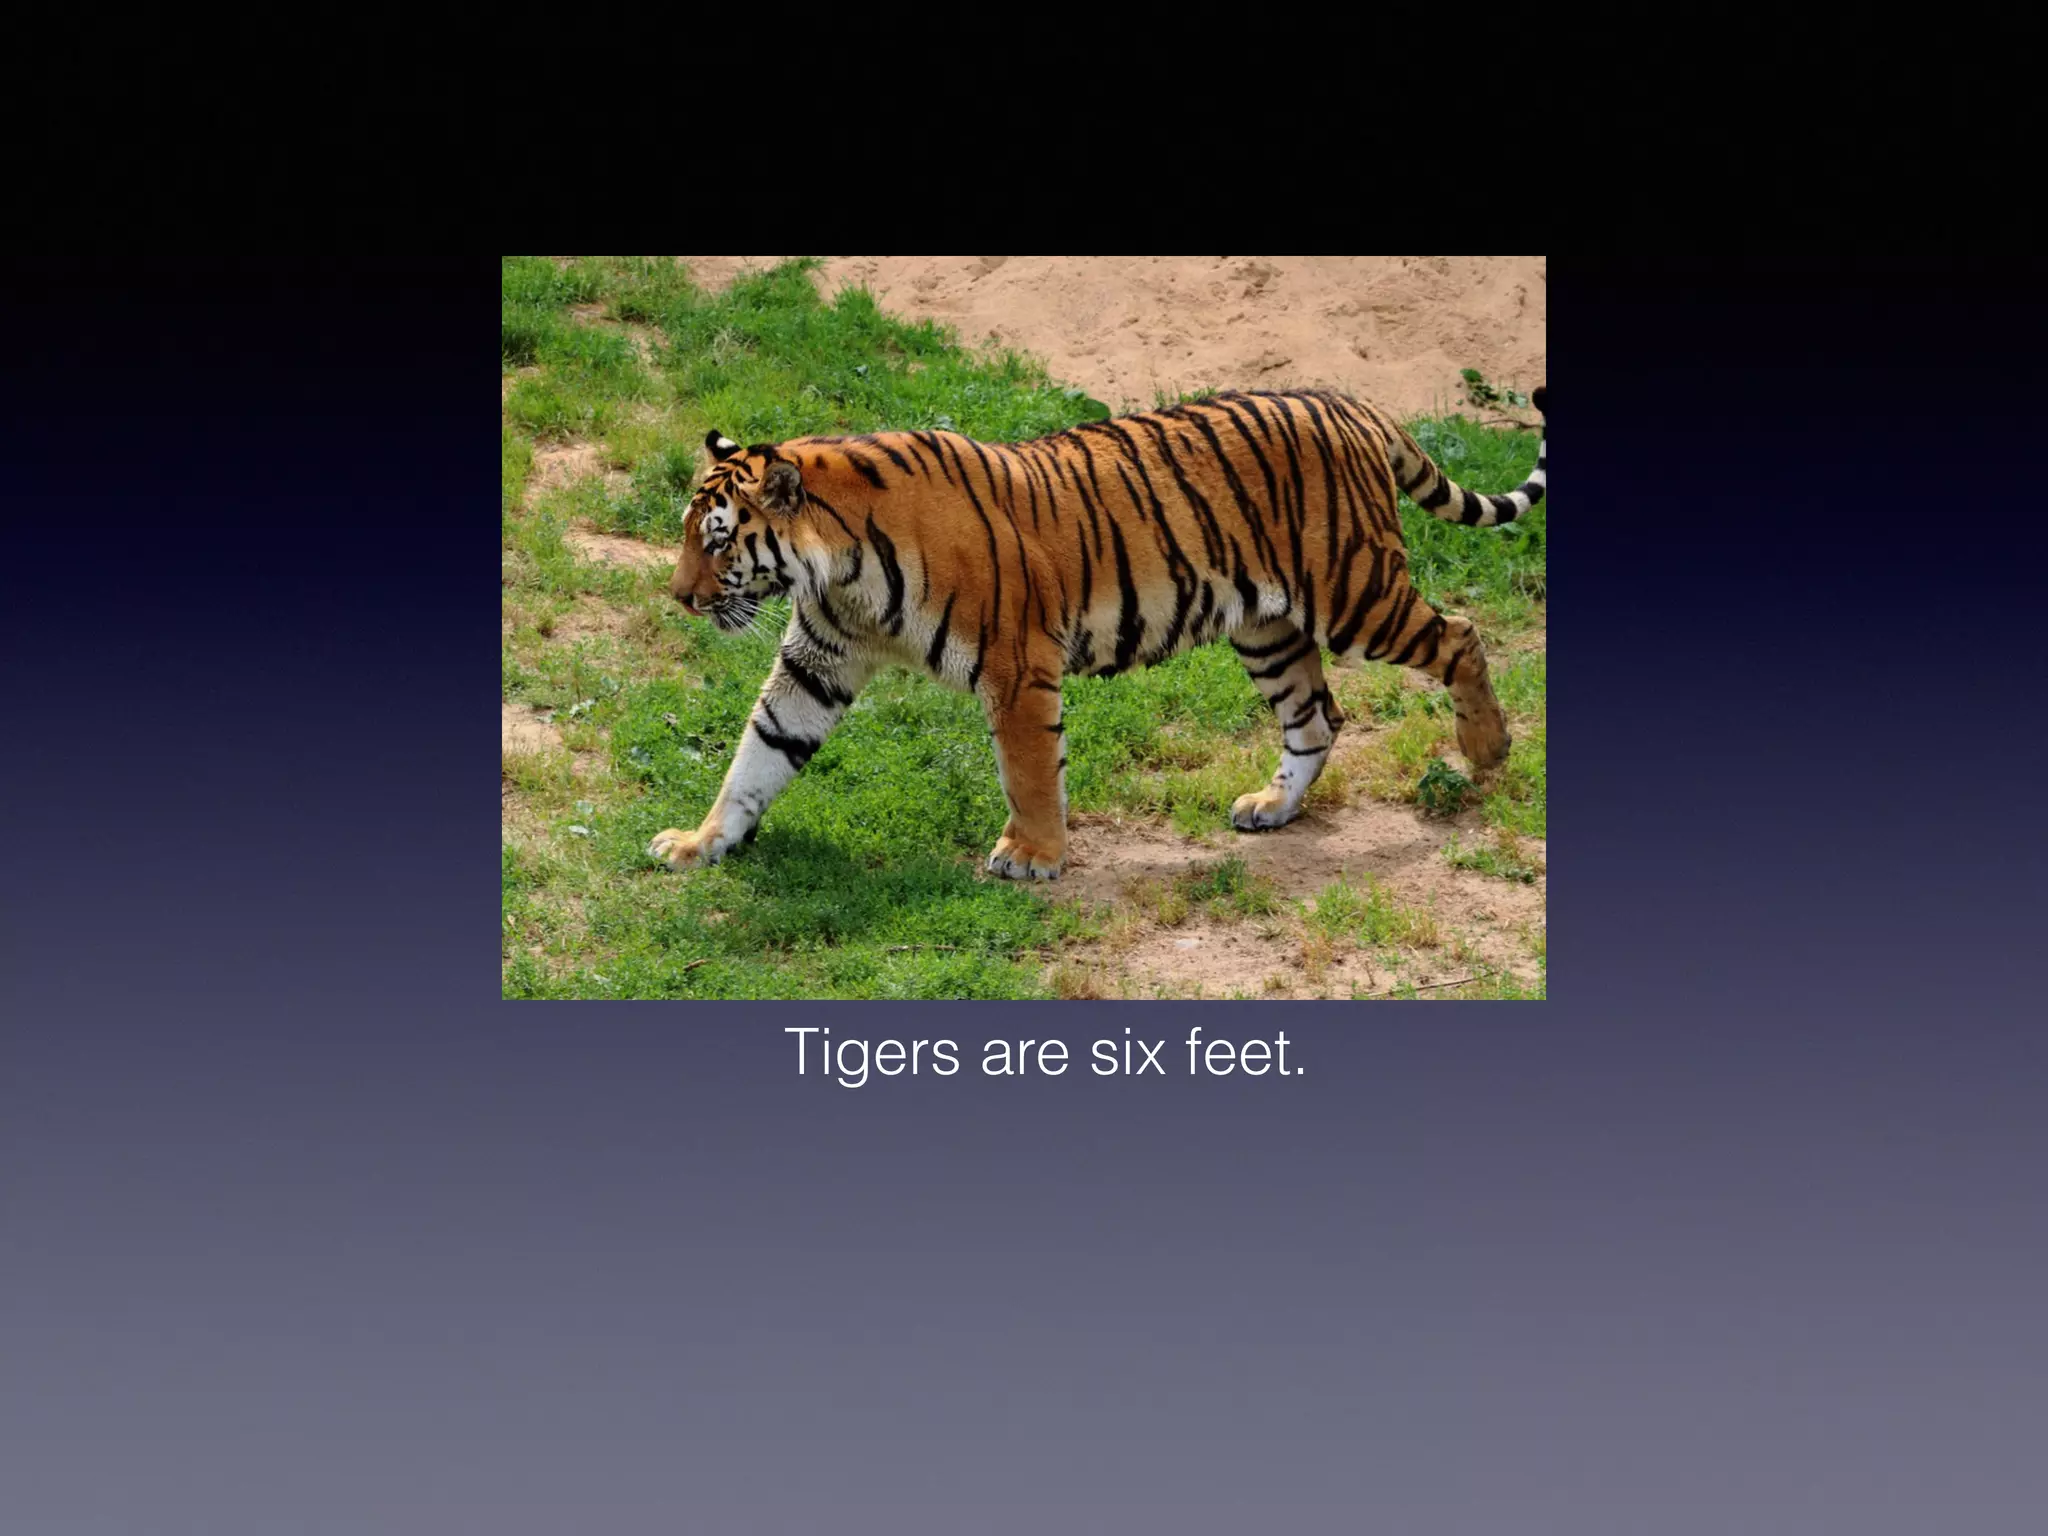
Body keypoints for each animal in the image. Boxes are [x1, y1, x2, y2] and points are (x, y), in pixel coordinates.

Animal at [648, 385, 1545, 881]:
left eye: (718, 541)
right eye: (692, 535)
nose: (680, 597)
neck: (838, 570)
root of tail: (1350, 402)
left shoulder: (1015, 668)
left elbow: (1029, 772)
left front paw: (1034, 856)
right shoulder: (819, 662)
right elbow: (757, 756)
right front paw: (701, 843)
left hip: (1353, 593)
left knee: (1459, 635)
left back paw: (1487, 750)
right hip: (1268, 627)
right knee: (1316, 717)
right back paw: (1271, 807)